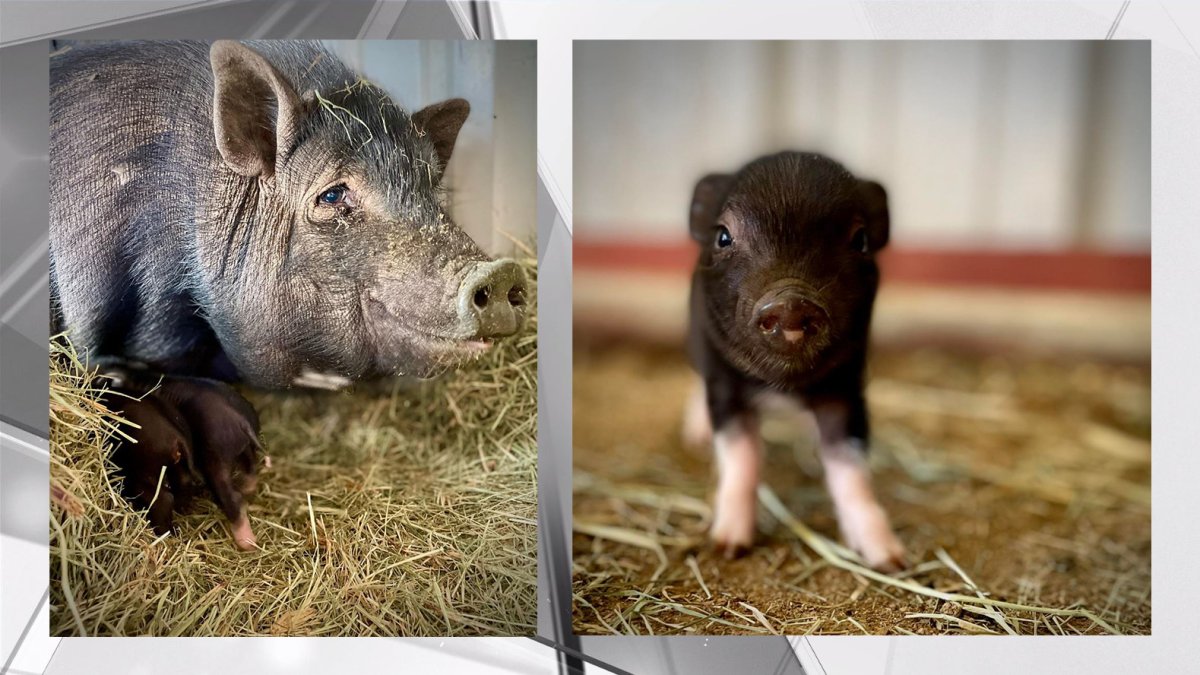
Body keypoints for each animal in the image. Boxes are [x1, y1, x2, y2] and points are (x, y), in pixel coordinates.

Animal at [683, 151, 907, 572]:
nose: (791, 302)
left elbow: (849, 467)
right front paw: (727, 547)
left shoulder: (846, 388)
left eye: (860, 240)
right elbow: (741, 457)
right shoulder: (724, 384)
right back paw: (694, 435)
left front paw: (890, 560)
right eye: (723, 236)